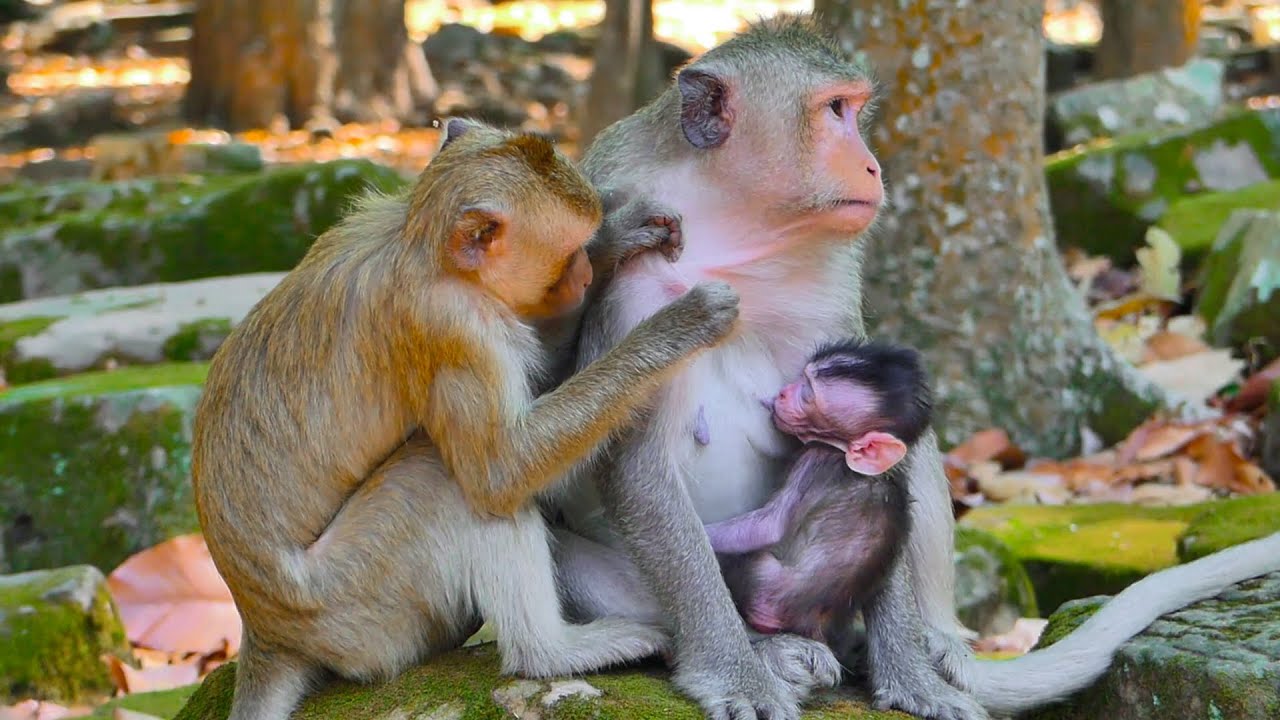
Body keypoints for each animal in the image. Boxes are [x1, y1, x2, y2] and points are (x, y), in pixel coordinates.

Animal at [191, 117, 742, 720]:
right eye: (567, 252)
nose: (583, 270)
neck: (422, 246)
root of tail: (267, 633)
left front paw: (619, 238)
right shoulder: (455, 329)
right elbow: (501, 471)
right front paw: (675, 327)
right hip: (351, 607)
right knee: (446, 480)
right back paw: (551, 654)